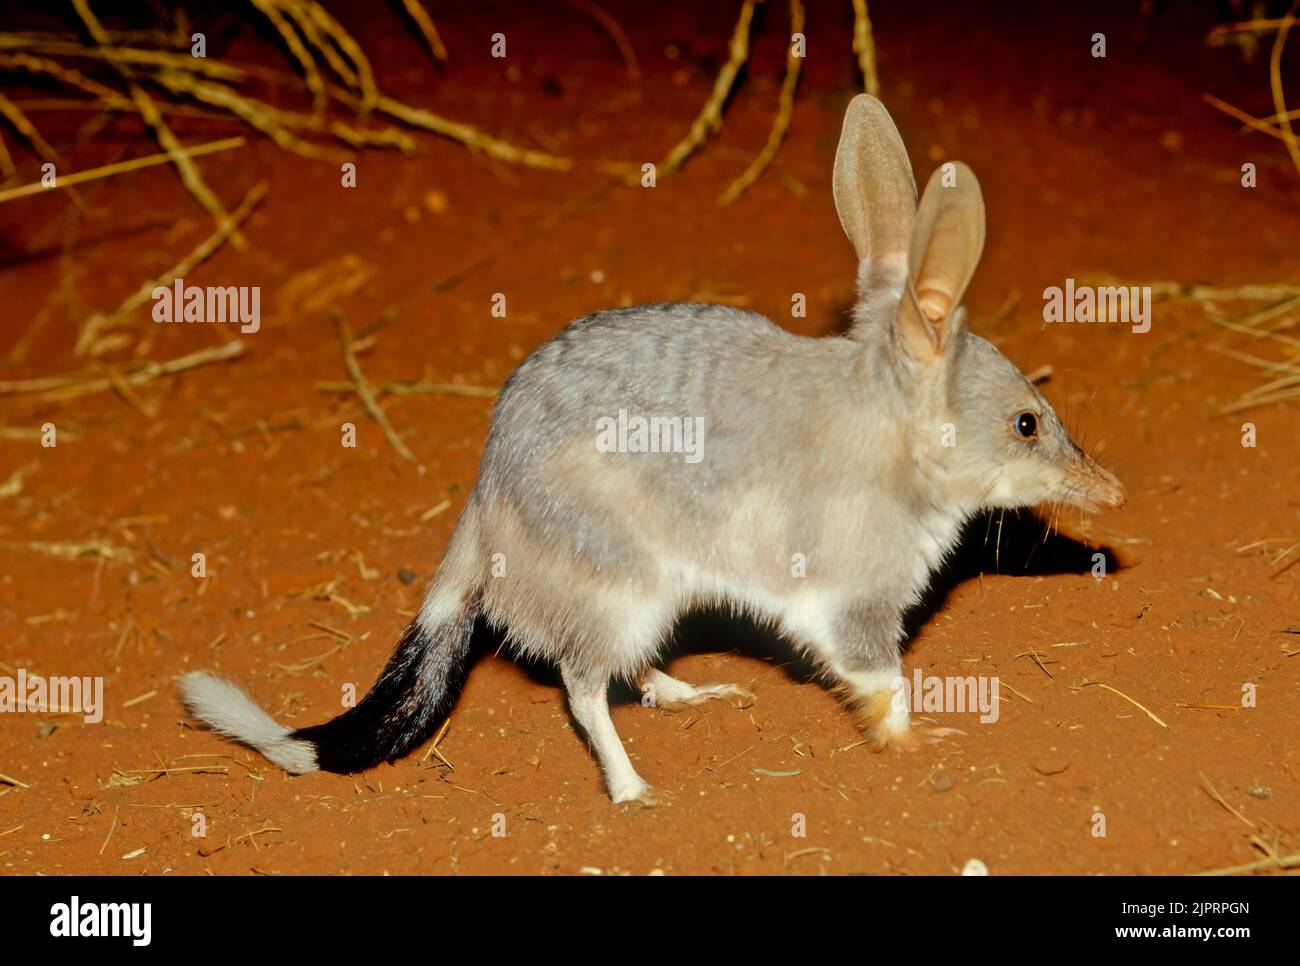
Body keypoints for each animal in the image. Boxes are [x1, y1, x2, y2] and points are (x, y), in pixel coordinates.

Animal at [181, 94, 1126, 805]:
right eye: (1027, 423)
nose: (1112, 493)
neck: (889, 425)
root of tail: (484, 502)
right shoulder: (851, 601)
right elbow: (881, 681)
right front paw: (919, 742)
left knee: (623, 671)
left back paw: (690, 690)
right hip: (626, 583)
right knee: (581, 683)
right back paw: (632, 788)